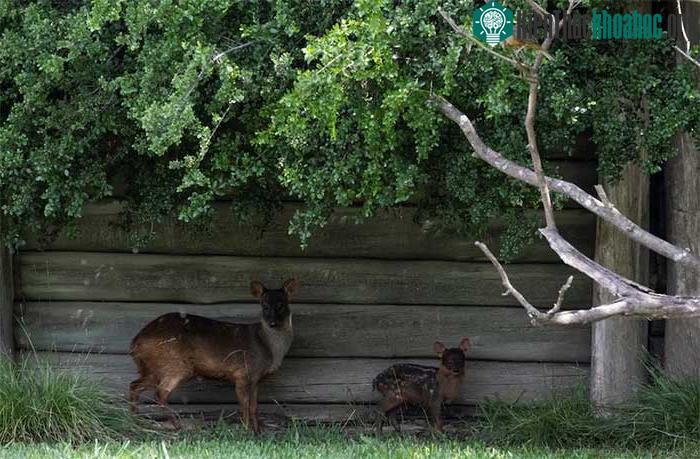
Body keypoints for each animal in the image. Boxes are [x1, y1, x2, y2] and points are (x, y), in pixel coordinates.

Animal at [129, 278, 298, 434]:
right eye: (264, 306)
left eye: (281, 305)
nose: (272, 323)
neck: (268, 347)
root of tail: (135, 343)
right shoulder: (242, 373)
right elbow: (244, 406)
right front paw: (247, 431)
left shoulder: (256, 378)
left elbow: (254, 407)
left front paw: (258, 431)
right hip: (175, 364)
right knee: (160, 393)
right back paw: (176, 426)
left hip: (152, 367)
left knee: (135, 385)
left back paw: (134, 420)